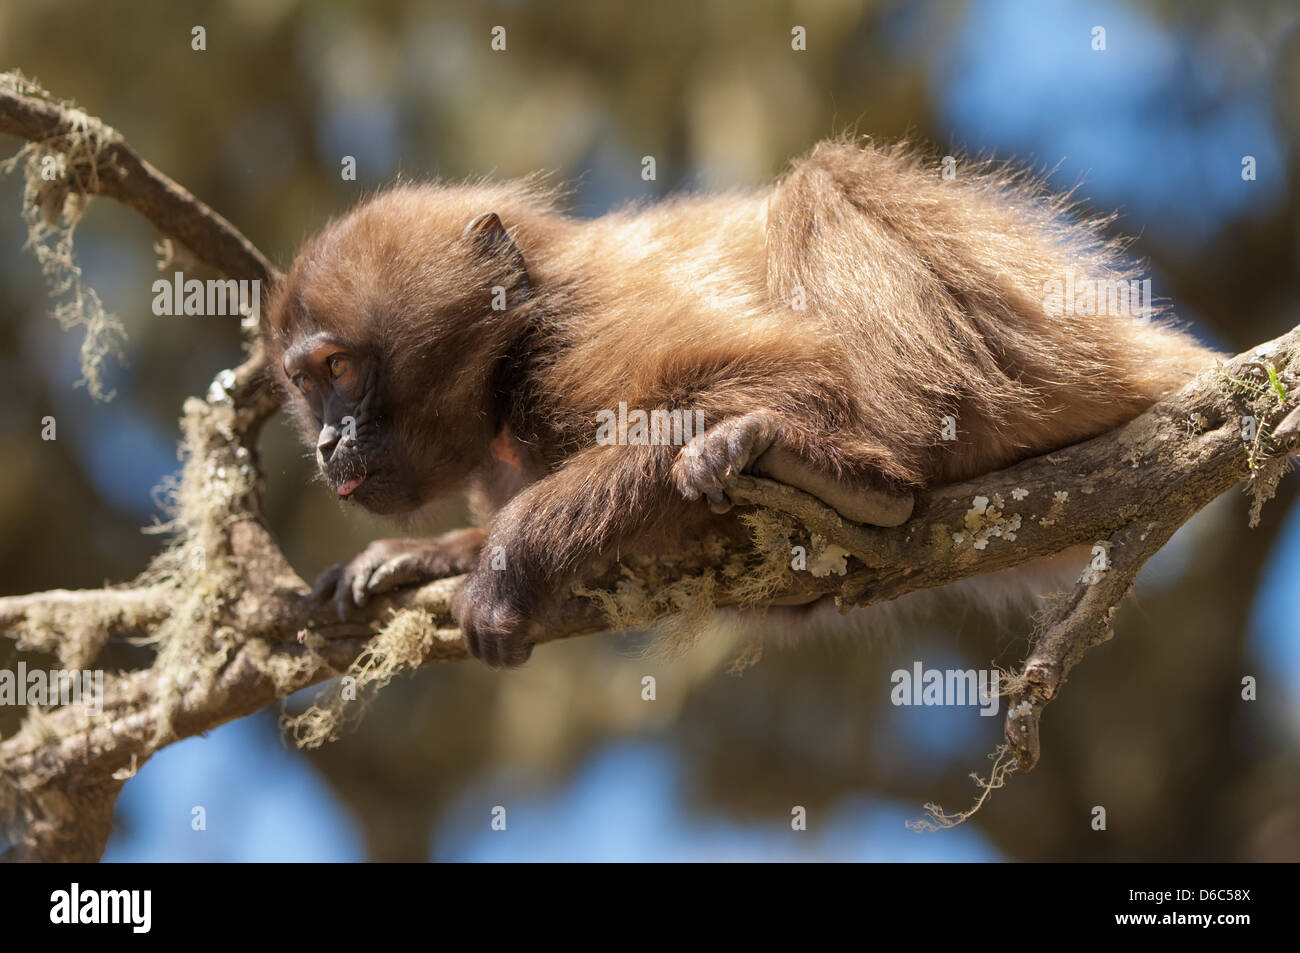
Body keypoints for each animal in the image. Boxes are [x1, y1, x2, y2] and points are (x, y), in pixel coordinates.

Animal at [264, 137, 1219, 669]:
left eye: (342, 368)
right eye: (307, 386)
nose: (326, 446)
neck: (512, 352)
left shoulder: (575, 349)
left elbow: (796, 374)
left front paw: (506, 559)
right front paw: (422, 555)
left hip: (1035, 355)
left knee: (822, 185)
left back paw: (864, 477)